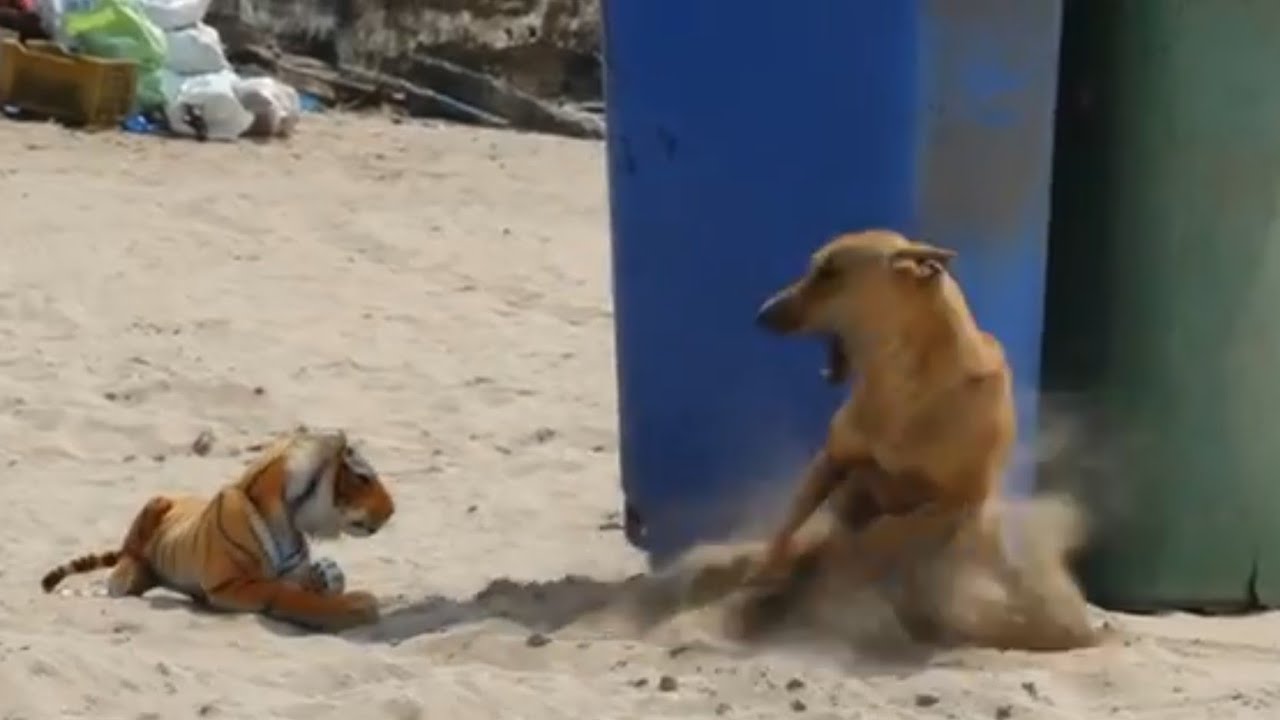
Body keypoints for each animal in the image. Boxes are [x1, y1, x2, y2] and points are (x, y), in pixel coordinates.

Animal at [40, 428, 395, 632]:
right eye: (362, 477)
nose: (393, 510)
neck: (287, 520)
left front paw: (329, 577)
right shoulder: (230, 582)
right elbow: (287, 594)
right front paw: (356, 606)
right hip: (153, 506)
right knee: (129, 556)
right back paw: (126, 575)